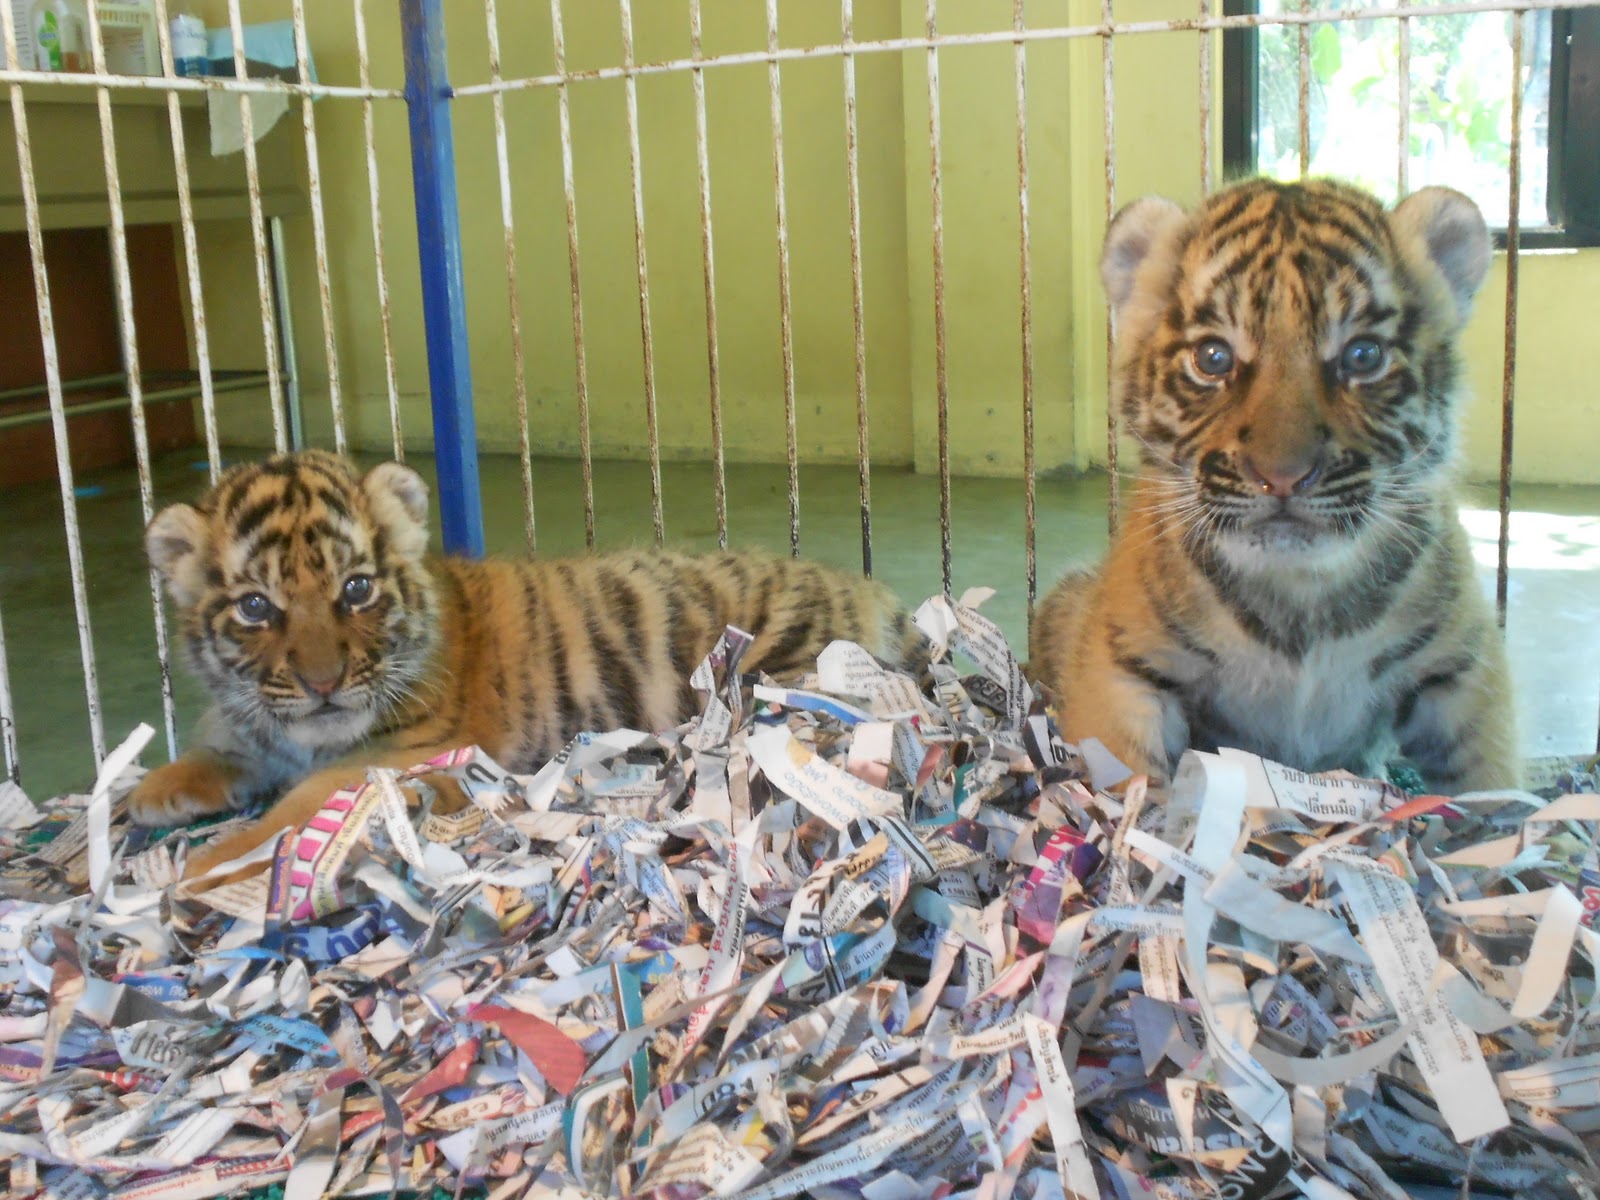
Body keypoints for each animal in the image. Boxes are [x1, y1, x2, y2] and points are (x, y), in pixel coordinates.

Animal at [129, 449, 928, 877]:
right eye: (255, 607)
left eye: (355, 590)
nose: (321, 684)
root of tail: (870, 590)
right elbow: (217, 749)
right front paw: (149, 791)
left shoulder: (411, 753)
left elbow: (301, 805)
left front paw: (206, 864)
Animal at [1029, 178, 1517, 795]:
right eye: (1213, 357)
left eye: (1363, 355)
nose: (1281, 476)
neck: (1298, 593)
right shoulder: (1124, 664)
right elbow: (1125, 775)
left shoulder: (1464, 671)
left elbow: (1491, 782)